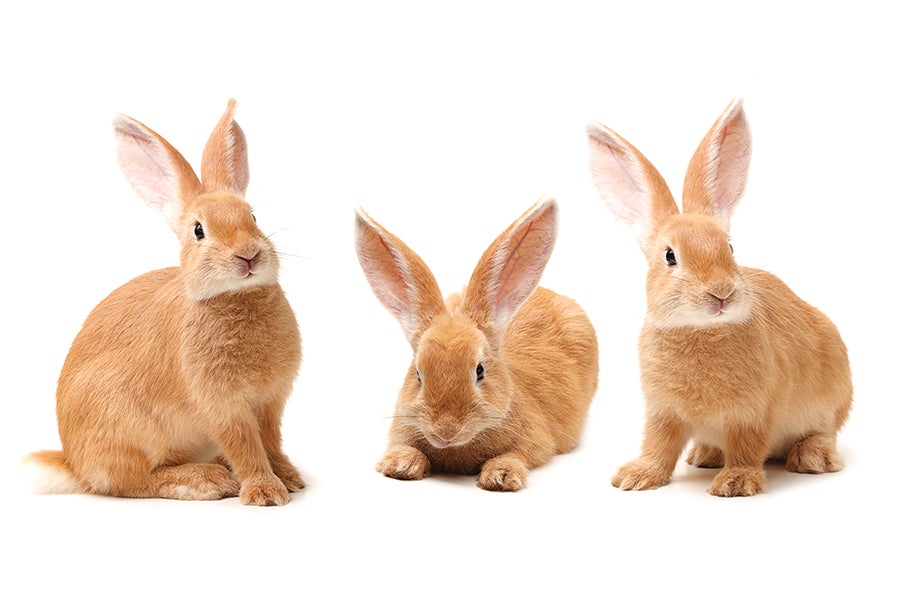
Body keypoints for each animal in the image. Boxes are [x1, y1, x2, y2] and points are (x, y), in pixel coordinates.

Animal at [27, 100, 304, 506]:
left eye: (253, 217)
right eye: (199, 230)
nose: (248, 256)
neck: (236, 297)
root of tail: (74, 463)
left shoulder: (270, 403)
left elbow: (270, 442)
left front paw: (290, 478)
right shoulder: (222, 406)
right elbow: (246, 447)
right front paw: (265, 493)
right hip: (125, 427)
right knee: (128, 481)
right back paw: (205, 480)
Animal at [354, 198, 599, 491]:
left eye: (480, 371)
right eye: (418, 374)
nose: (446, 431)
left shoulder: (535, 440)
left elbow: (518, 455)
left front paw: (501, 476)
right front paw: (400, 464)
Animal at [586, 98, 852, 497]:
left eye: (729, 247)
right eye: (670, 256)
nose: (721, 293)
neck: (699, 330)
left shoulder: (753, 413)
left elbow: (747, 447)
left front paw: (736, 483)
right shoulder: (662, 412)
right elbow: (658, 445)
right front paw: (636, 477)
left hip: (832, 398)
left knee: (823, 432)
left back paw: (811, 459)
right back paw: (705, 455)